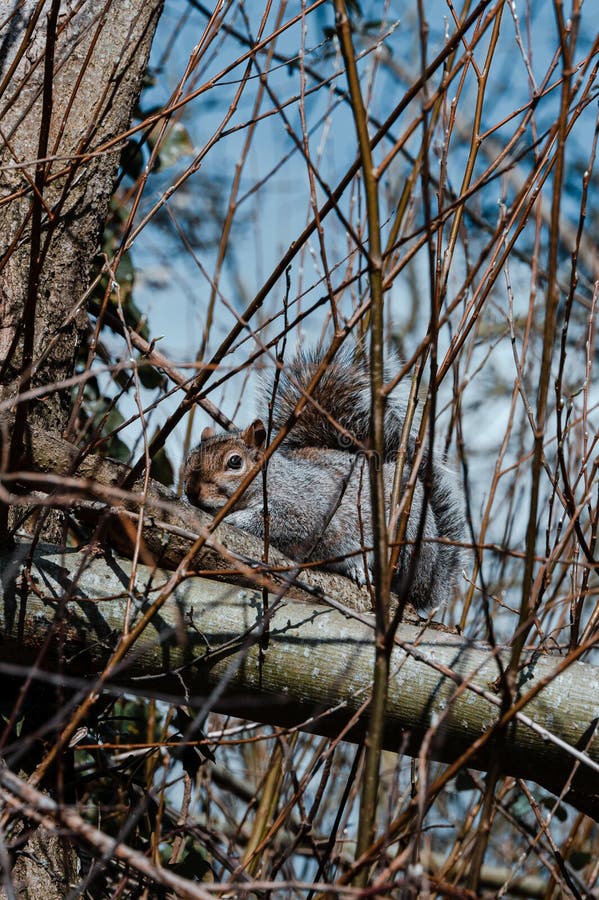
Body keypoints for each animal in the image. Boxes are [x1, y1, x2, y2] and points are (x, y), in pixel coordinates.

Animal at [184, 346, 465, 610]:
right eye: (189, 459)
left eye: (235, 462)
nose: (191, 491)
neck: (272, 480)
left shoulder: (307, 510)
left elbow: (280, 523)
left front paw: (232, 519)